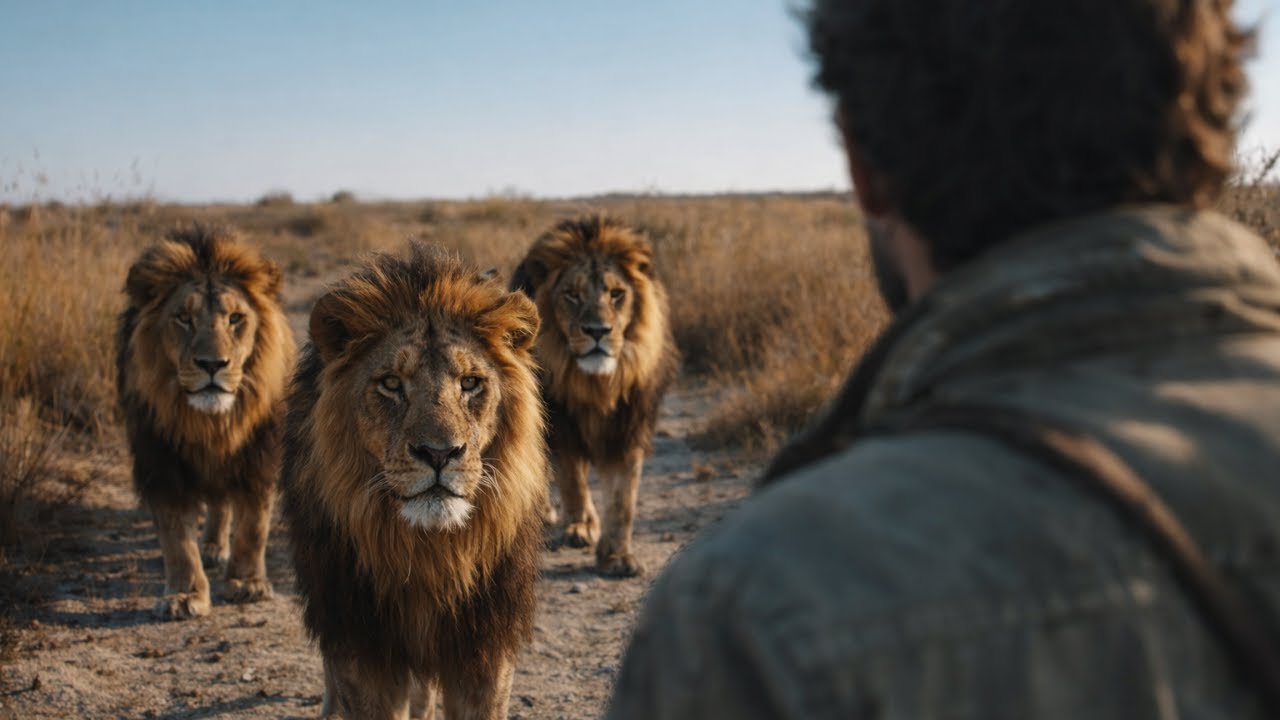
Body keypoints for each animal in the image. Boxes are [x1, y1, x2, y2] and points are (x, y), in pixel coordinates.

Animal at [116, 224, 295, 620]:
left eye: (235, 318)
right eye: (183, 318)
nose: (212, 364)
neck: (211, 425)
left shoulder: (258, 457)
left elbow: (253, 525)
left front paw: (247, 583)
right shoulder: (161, 464)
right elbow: (177, 541)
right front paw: (184, 595)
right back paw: (211, 548)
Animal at [281, 242, 546, 720]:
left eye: (470, 383)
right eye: (390, 383)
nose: (439, 453)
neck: (429, 553)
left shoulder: (485, 647)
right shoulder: (361, 649)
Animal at [511, 216, 679, 577]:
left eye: (617, 294)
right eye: (572, 295)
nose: (598, 331)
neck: (596, 384)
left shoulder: (627, 426)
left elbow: (623, 497)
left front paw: (617, 556)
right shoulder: (561, 424)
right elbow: (572, 481)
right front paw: (580, 528)